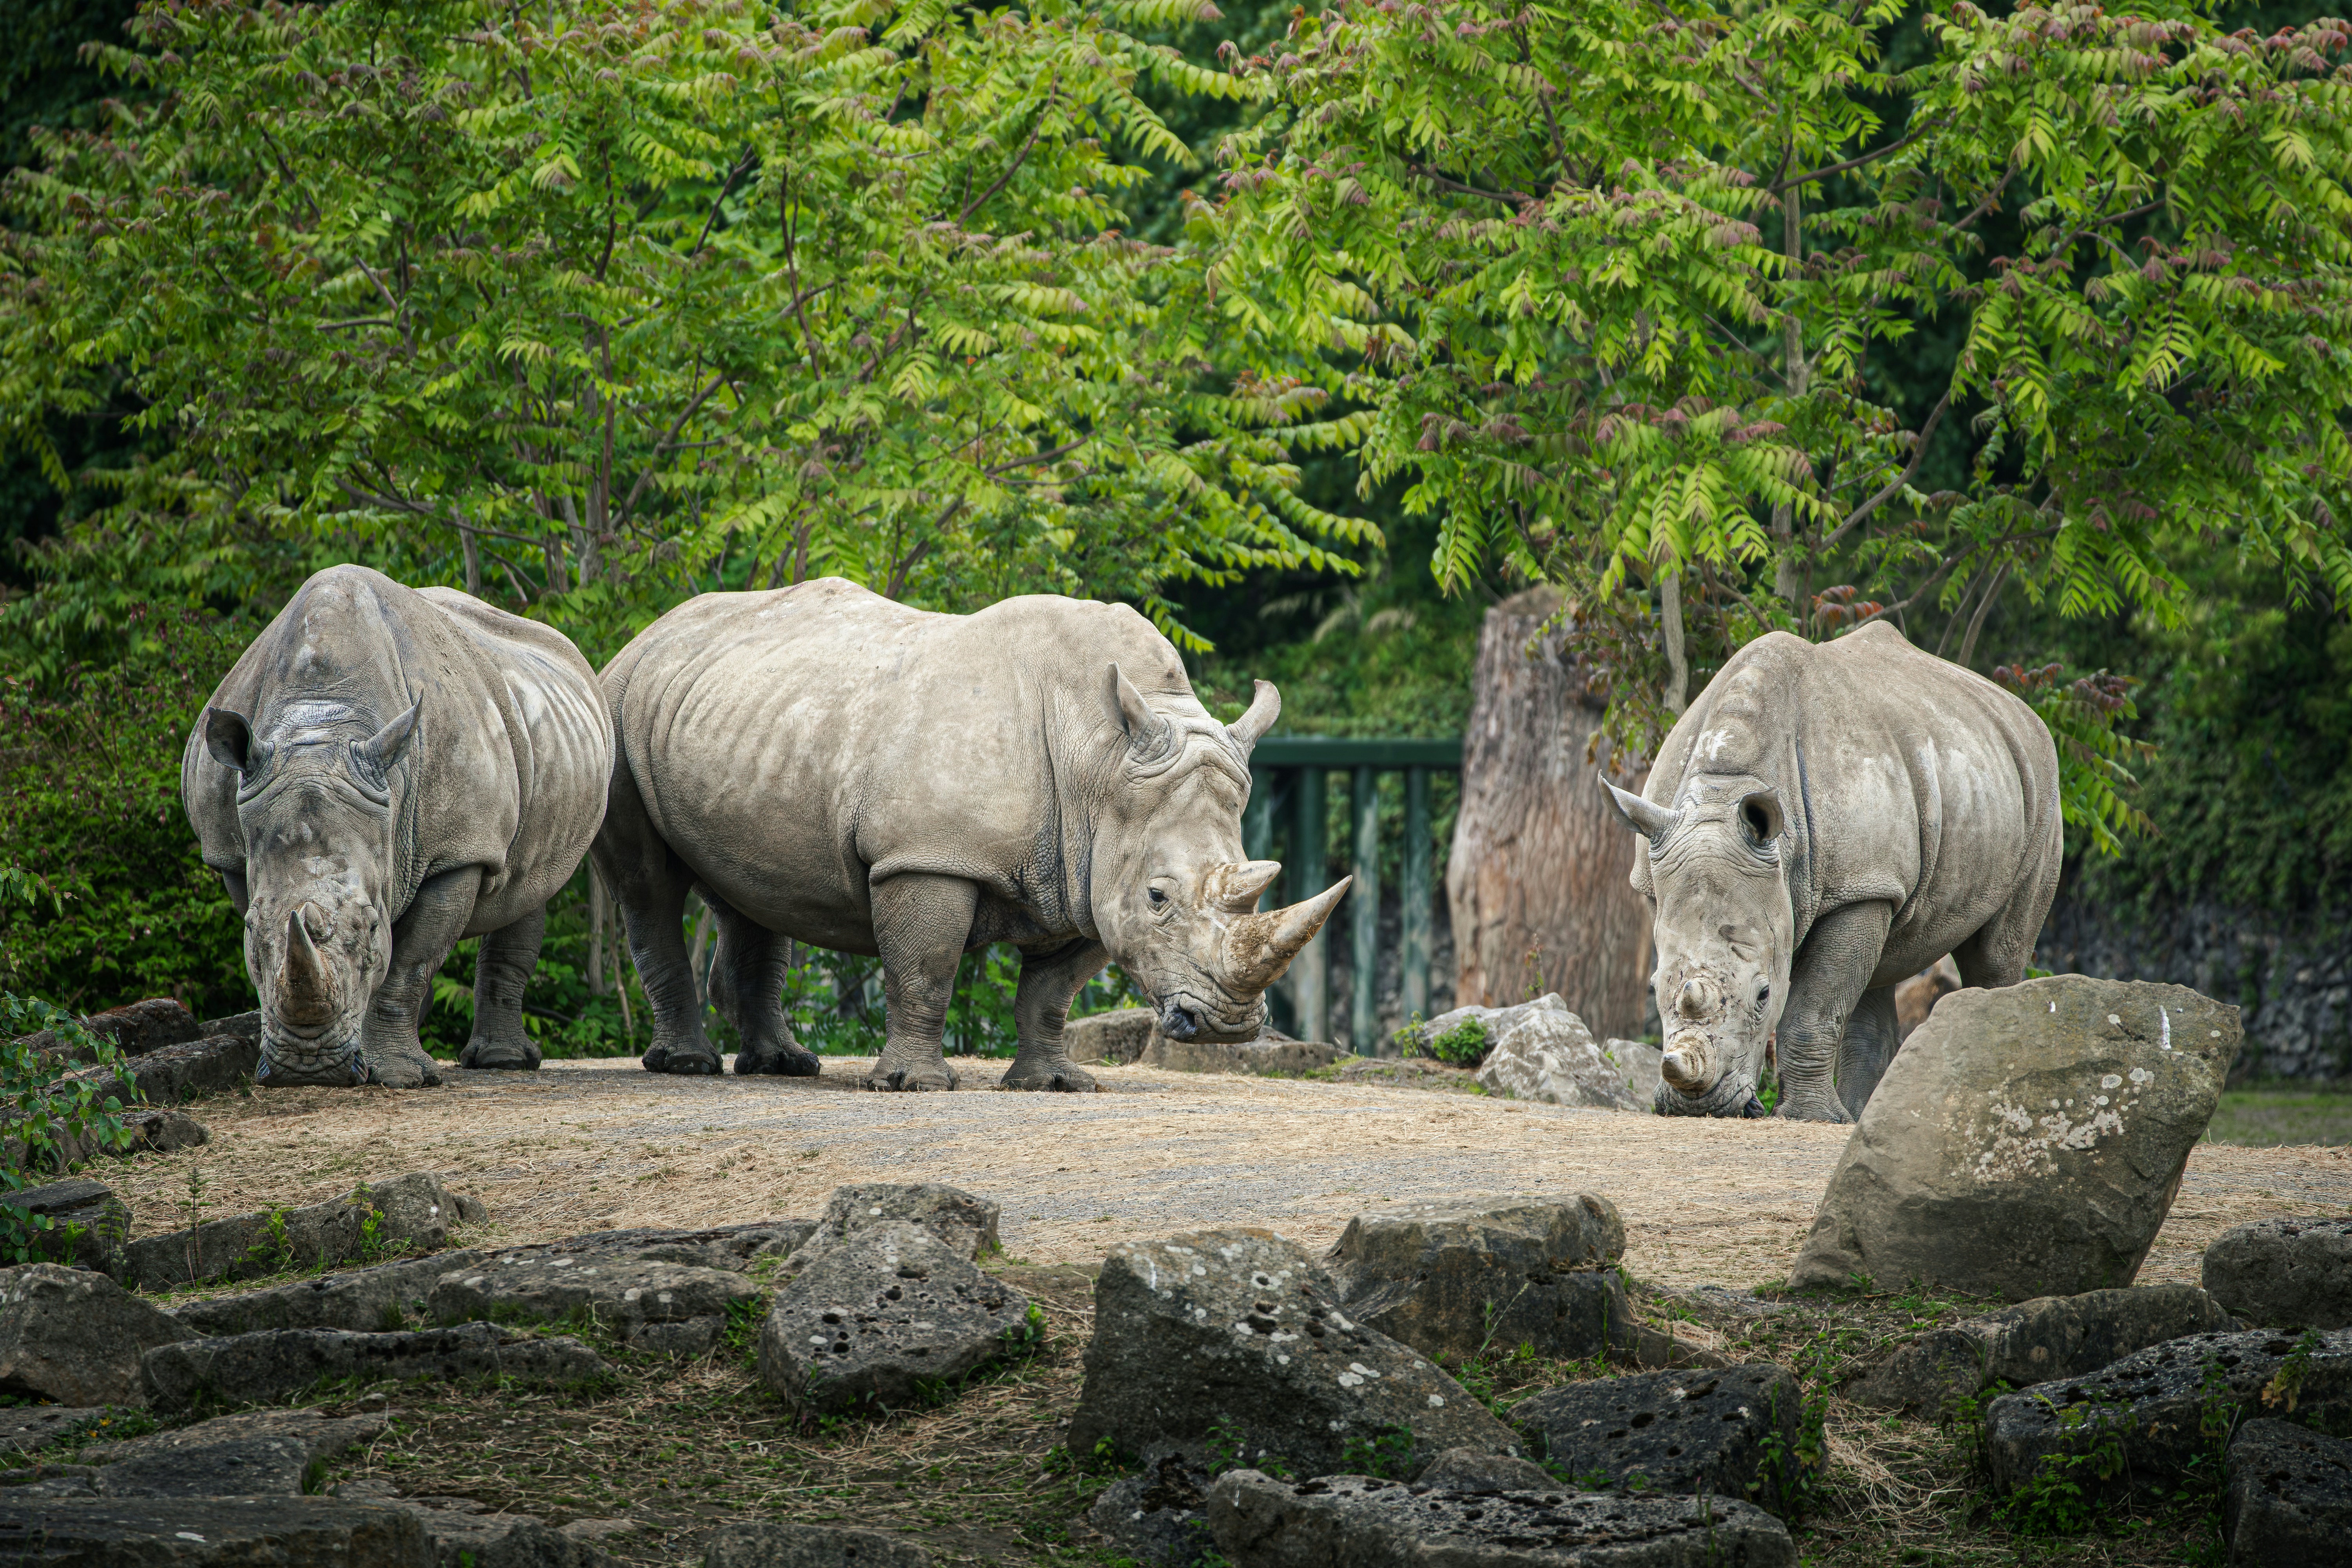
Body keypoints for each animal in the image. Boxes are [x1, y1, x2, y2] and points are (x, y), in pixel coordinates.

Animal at [183, 566, 614, 1087]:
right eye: (248, 929)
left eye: (371, 926)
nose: (308, 1067)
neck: (320, 724)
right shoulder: (229, 853)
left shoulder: (460, 851)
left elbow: (411, 963)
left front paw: (399, 1076)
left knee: (527, 887)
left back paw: (502, 1062)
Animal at [592, 577, 1348, 1090]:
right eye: (1159, 898)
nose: (1228, 1026)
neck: (1099, 760)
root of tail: (645, 636)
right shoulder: (928, 856)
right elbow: (925, 970)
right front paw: (912, 1086)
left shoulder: (1088, 874)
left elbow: (1051, 992)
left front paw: (1055, 1085)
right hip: (618, 708)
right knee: (648, 886)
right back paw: (688, 1066)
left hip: (739, 717)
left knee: (753, 891)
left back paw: (783, 1066)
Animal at [1601, 622, 2061, 1123]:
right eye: (1653, 987)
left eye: (1764, 995)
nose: (1698, 1105)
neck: (1725, 790)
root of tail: (2022, 711)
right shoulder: (1659, 877)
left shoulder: (1858, 883)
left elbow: (1813, 1008)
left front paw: (1808, 1118)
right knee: (1886, 959)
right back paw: (1861, 1116)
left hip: (2039, 787)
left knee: (1996, 956)